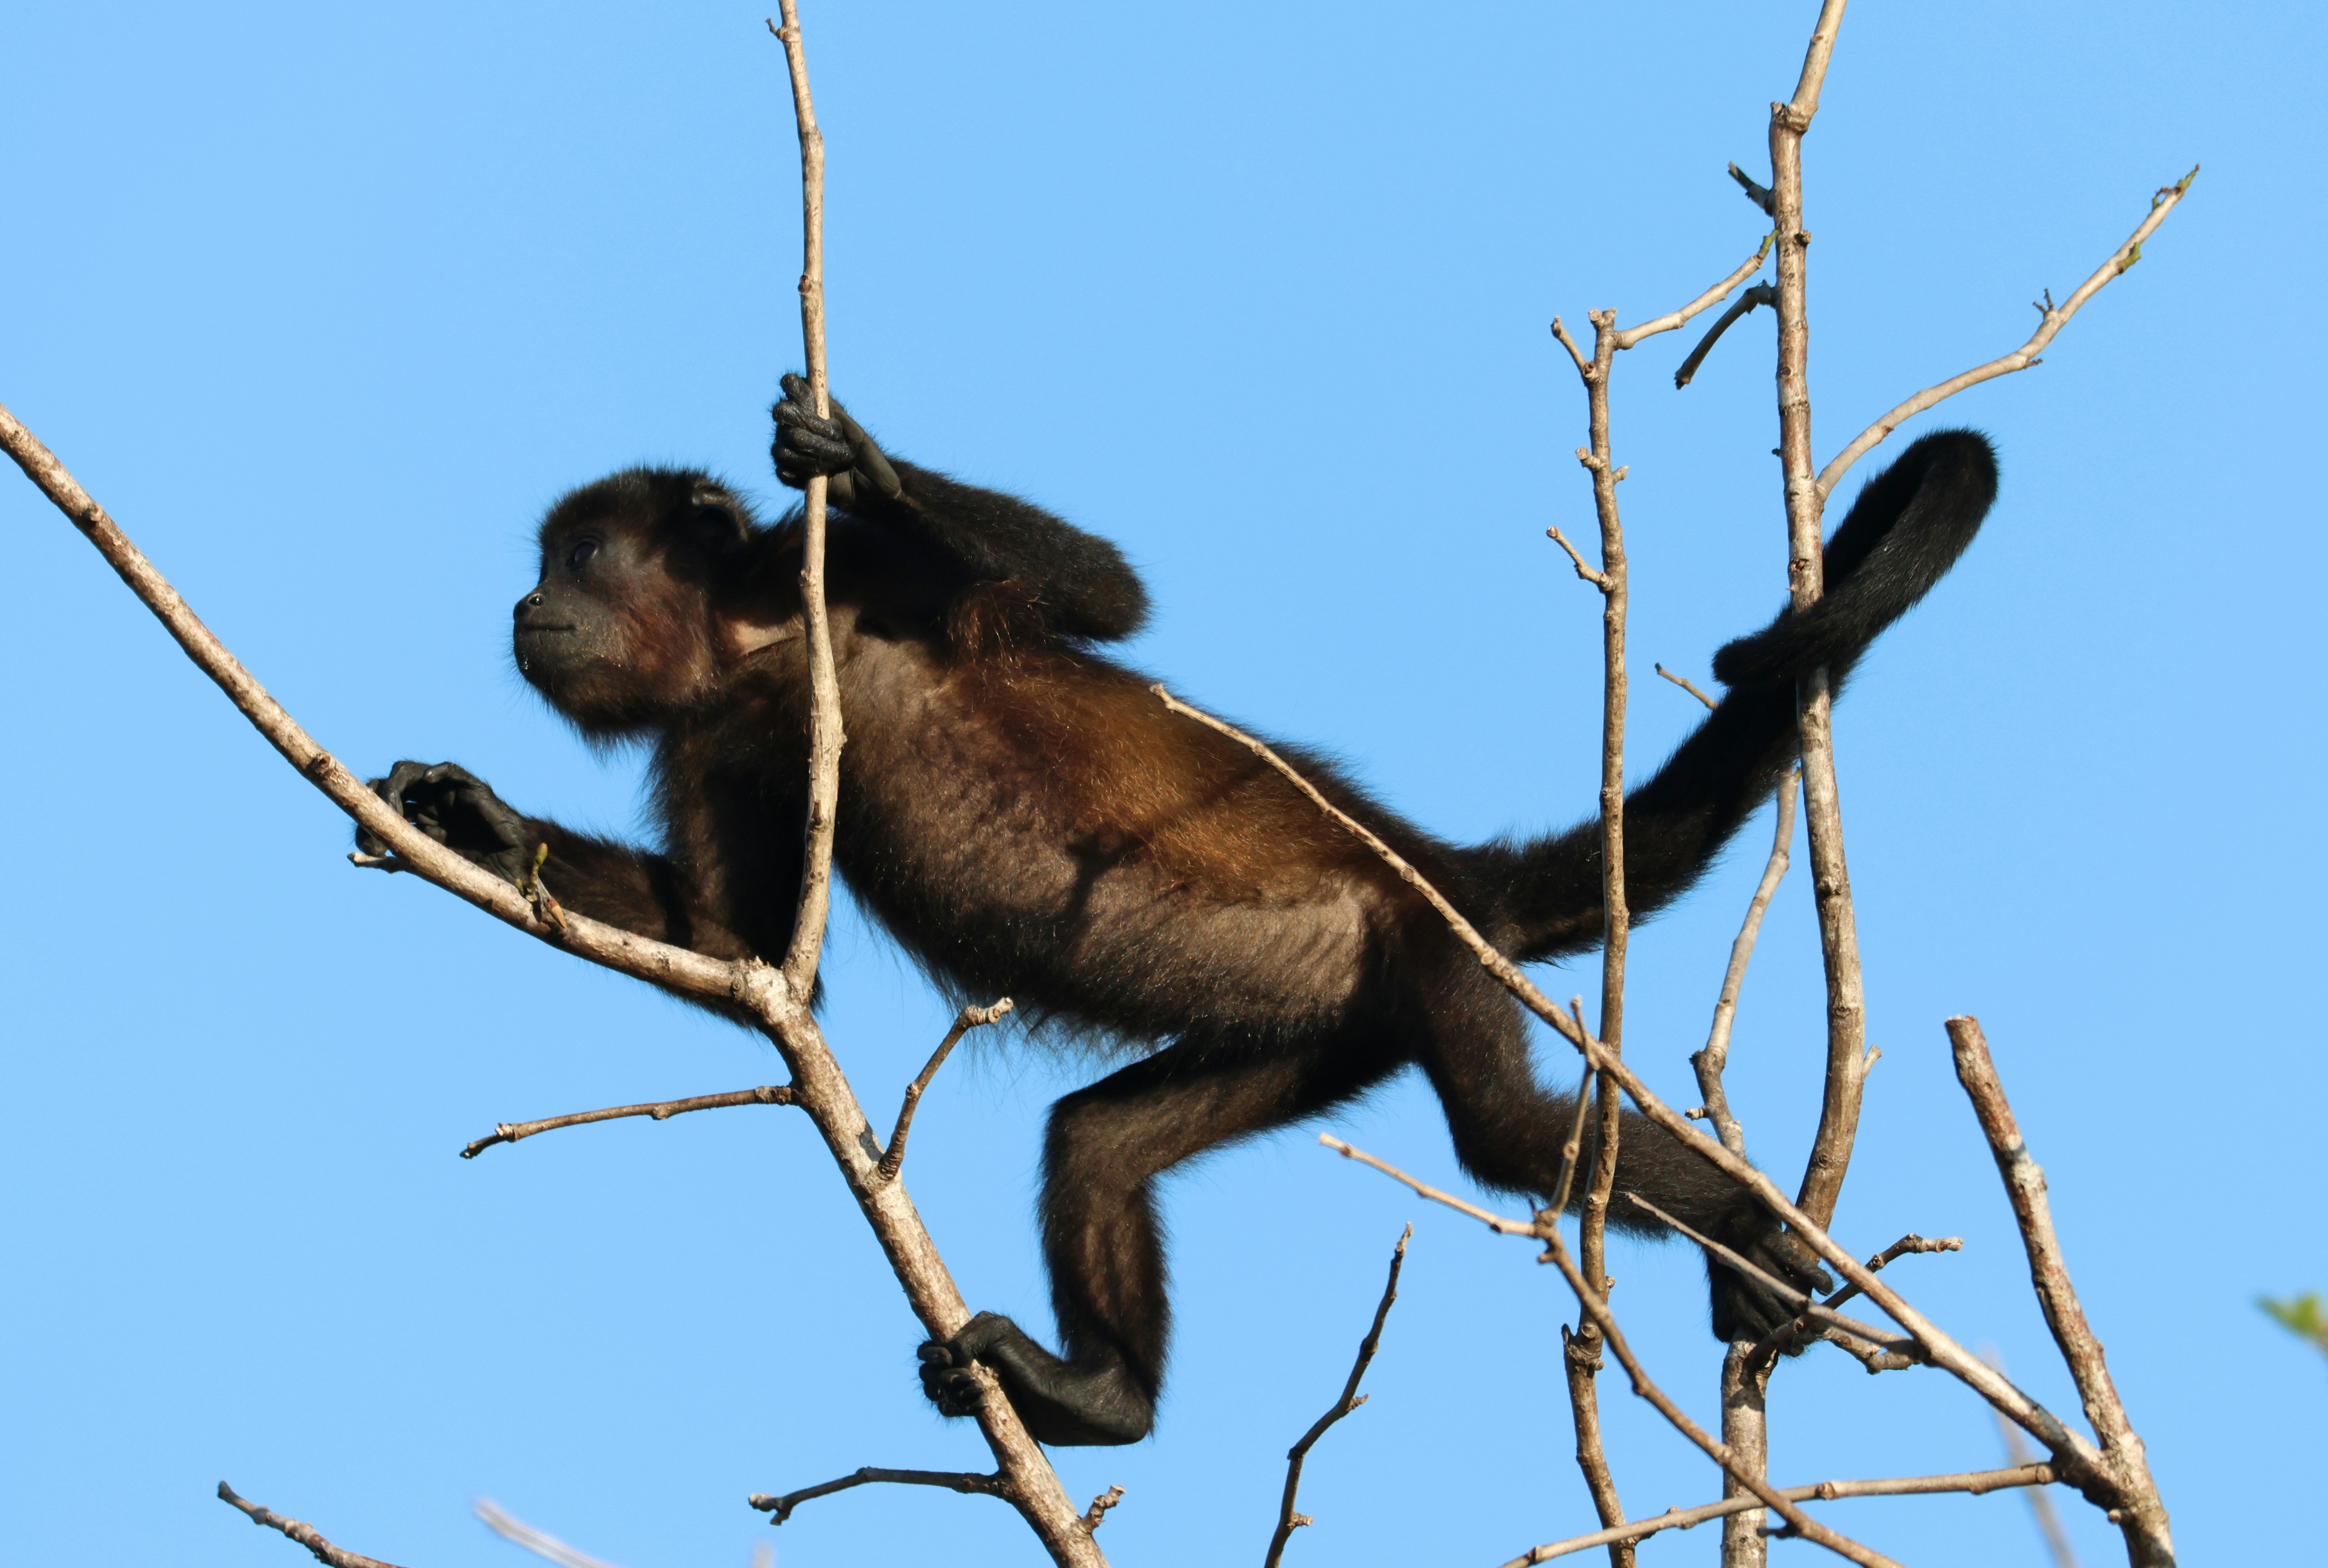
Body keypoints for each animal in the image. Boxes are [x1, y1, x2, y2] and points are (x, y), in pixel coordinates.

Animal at [360, 376, 1996, 1446]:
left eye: (580, 553)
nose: (524, 605)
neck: (759, 640)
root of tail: (1437, 870)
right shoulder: (708, 737)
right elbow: (741, 950)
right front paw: (473, 817)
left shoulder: (847, 578)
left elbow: (1105, 592)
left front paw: (864, 455)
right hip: (1333, 1026)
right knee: (1098, 1141)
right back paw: (1100, 1396)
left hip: (1422, 954)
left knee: (1515, 1138)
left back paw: (1753, 1229)